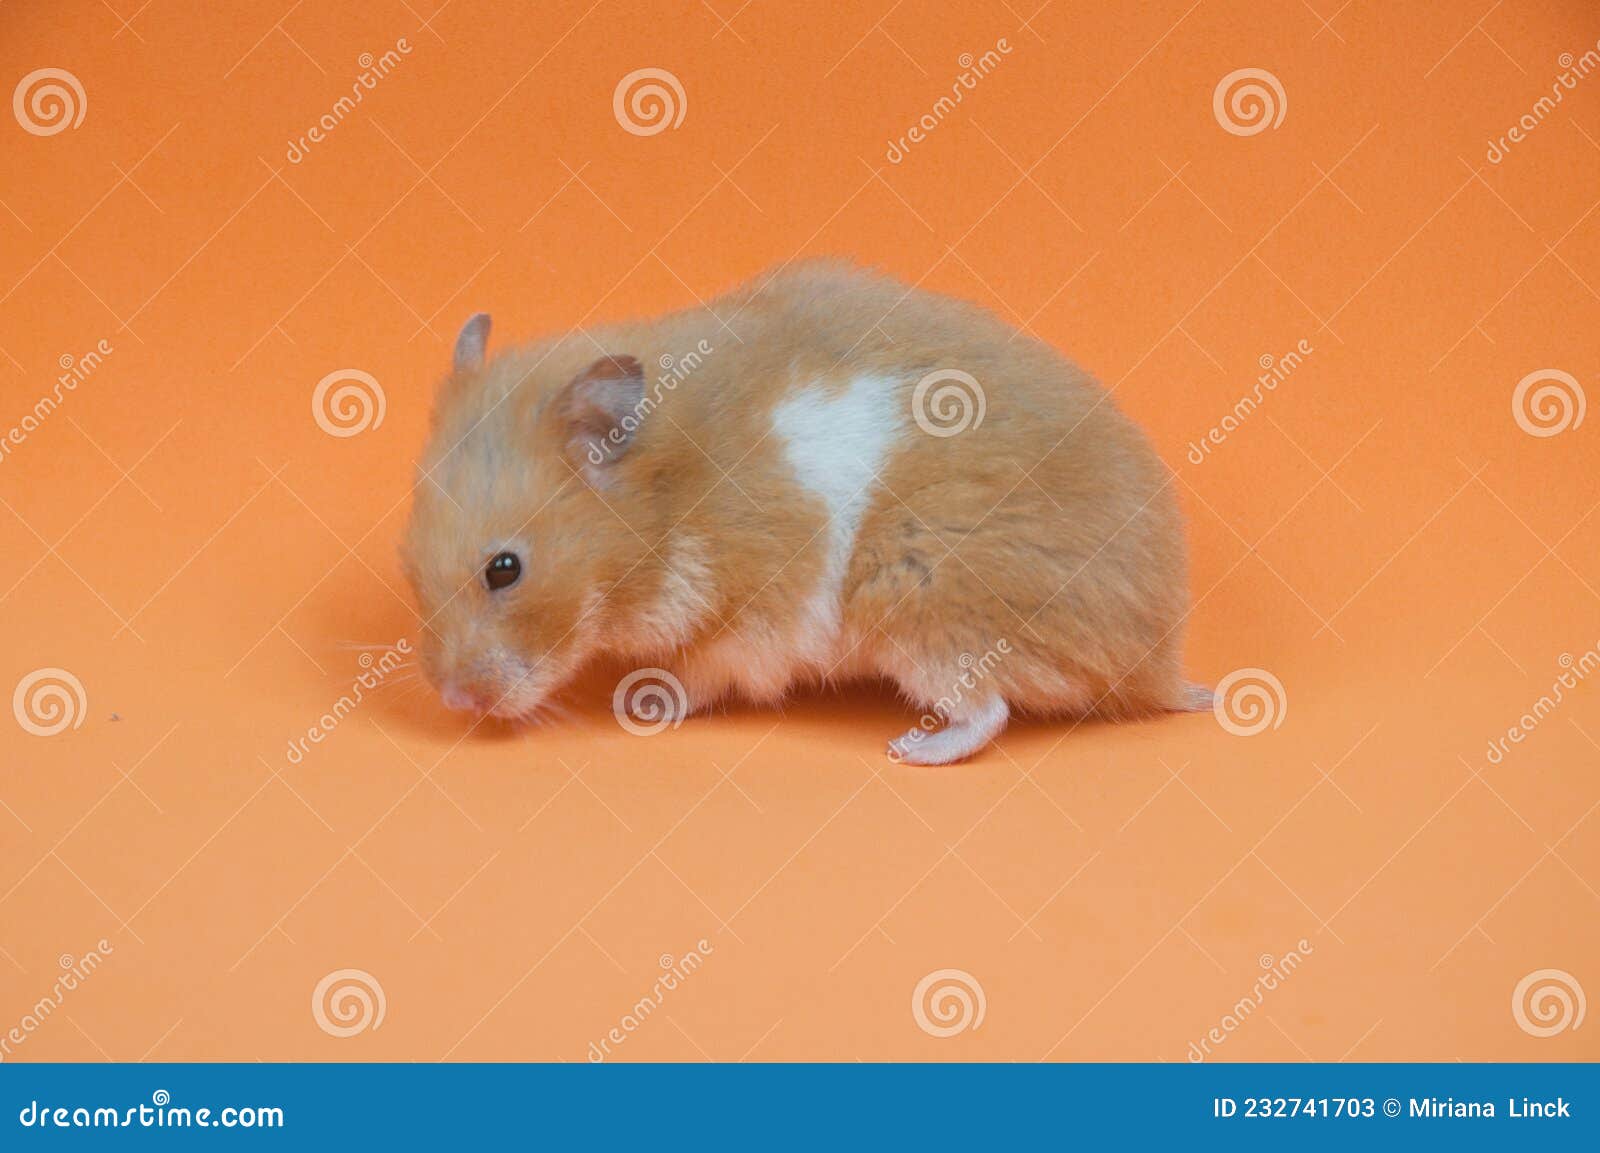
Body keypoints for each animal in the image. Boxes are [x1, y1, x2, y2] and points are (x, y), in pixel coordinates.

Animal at [400, 260, 1209, 764]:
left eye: (504, 569)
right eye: (409, 565)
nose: (452, 701)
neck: (670, 503)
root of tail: (1159, 664)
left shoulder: (750, 625)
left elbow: (699, 675)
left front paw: (642, 706)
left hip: (919, 604)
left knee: (988, 712)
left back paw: (910, 751)